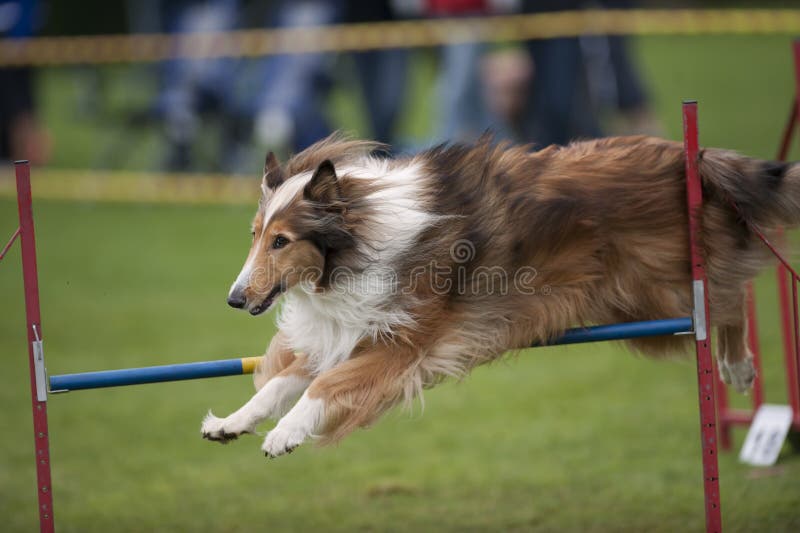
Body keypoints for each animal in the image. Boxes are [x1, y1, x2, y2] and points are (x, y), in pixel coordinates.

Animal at [203, 134, 796, 458]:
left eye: (282, 241)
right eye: (255, 234)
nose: (233, 298)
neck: (362, 240)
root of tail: (692, 156)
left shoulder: (403, 343)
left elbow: (323, 387)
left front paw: (284, 436)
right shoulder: (346, 331)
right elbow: (280, 384)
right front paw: (232, 422)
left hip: (664, 288)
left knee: (731, 293)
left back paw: (739, 366)